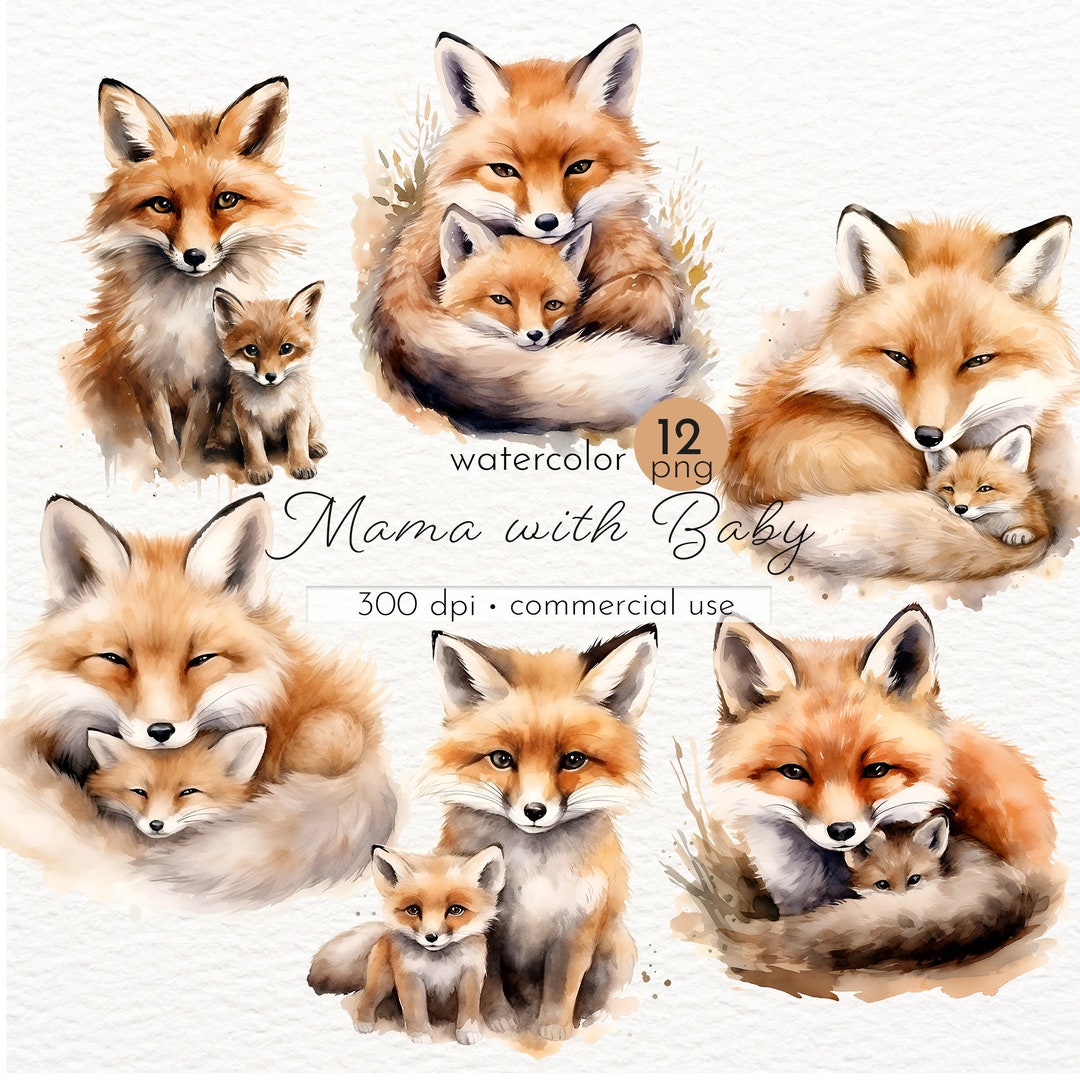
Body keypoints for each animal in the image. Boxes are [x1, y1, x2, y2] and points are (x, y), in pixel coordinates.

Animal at [64, 77, 306, 476]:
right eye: (162, 205)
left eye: (226, 200)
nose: (194, 257)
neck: (185, 317)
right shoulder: (144, 372)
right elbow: (164, 437)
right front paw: (174, 476)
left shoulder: (211, 378)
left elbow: (193, 436)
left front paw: (189, 473)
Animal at [212, 281, 327, 484]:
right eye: (251, 350)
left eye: (286, 348)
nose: (270, 376)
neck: (272, 400)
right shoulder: (245, 416)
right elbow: (254, 445)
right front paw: (258, 468)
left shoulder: (298, 411)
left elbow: (298, 442)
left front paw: (301, 464)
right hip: (226, 427)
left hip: (312, 415)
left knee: (307, 436)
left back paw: (314, 445)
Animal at [309, 846, 505, 1045]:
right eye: (413, 910)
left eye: (455, 910)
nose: (431, 937)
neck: (439, 962)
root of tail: (385, 934)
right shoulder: (409, 976)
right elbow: (415, 1010)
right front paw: (420, 1035)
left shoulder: (471, 974)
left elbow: (469, 1008)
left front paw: (467, 1032)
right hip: (382, 982)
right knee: (367, 999)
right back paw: (363, 1023)